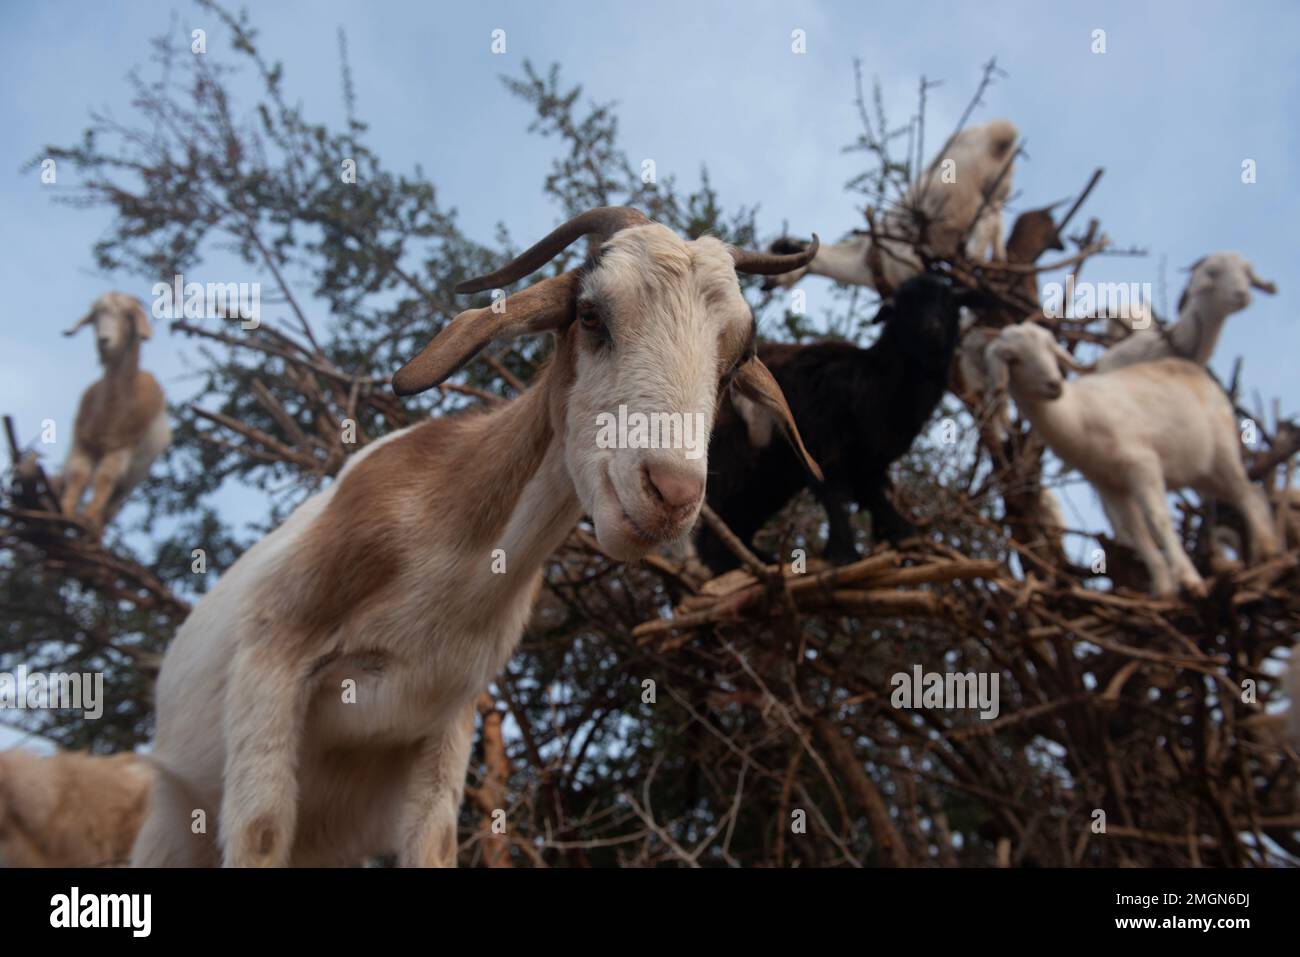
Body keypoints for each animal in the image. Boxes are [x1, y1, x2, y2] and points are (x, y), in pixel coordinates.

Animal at [59, 292, 171, 536]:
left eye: (128, 316)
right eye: (95, 317)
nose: (104, 341)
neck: (110, 415)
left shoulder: (122, 447)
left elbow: (104, 477)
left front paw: (88, 517)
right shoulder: (83, 443)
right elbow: (78, 475)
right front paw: (66, 510)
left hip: (133, 478)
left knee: (112, 503)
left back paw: (96, 531)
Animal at [130, 207, 822, 867]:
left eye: (733, 363)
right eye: (591, 316)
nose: (671, 494)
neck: (446, 561)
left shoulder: (445, 728)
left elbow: (434, 850)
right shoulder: (272, 659)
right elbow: (261, 835)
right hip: (170, 819)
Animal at [698, 274, 989, 571]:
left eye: (949, 302)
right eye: (906, 307)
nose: (932, 327)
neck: (873, 378)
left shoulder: (869, 454)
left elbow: (872, 491)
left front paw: (903, 532)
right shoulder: (822, 437)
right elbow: (833, 492)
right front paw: (844, 553)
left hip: (770, 475)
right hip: (733, 457)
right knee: (712, 532)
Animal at [763, 119, 1018, 293]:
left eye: (783, 252)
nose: (766, 284)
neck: (862, 258)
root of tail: (999, 131)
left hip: (966, 194)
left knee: (987, 223)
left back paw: (975, 262)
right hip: (998, 190)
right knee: (998, 222)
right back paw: (998, 266)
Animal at [983, 321, 1278, 596]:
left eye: (1049, 349)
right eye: (1013, 359)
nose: (1054, 385)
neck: (1079, 418)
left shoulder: (1143, 464)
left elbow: (1157, 520)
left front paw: (1190, 581)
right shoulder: (1109, 485)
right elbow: (1136, 532)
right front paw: (1162, 588)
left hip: (1223, 454)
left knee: (1248, 495)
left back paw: (1265, 554)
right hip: (1203, 474)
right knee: (1249, 495)